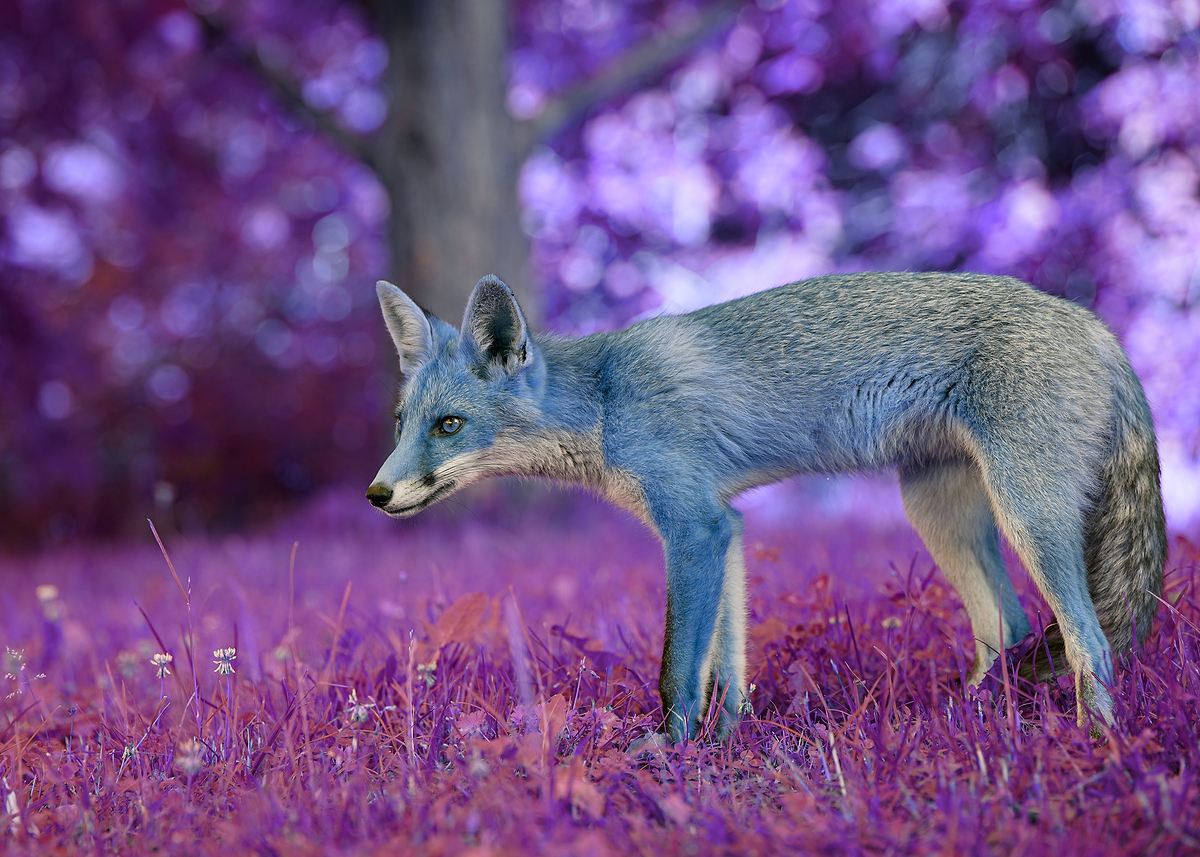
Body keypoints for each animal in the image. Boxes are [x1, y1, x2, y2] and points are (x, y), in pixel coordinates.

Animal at [366, 272, 1166, 744]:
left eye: (450, 426)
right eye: (401, 424)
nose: (377, 494)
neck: (604, 400)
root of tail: (1099, 328)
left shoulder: (694, 527)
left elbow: (679, 670)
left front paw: (670, 755)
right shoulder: (726, 524)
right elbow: (729, 662)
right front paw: (728, 746)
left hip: (1027, 513)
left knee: (1088, 641)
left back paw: (1093, 749)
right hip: (936, 509)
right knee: (1008, 626)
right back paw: (963, 724)